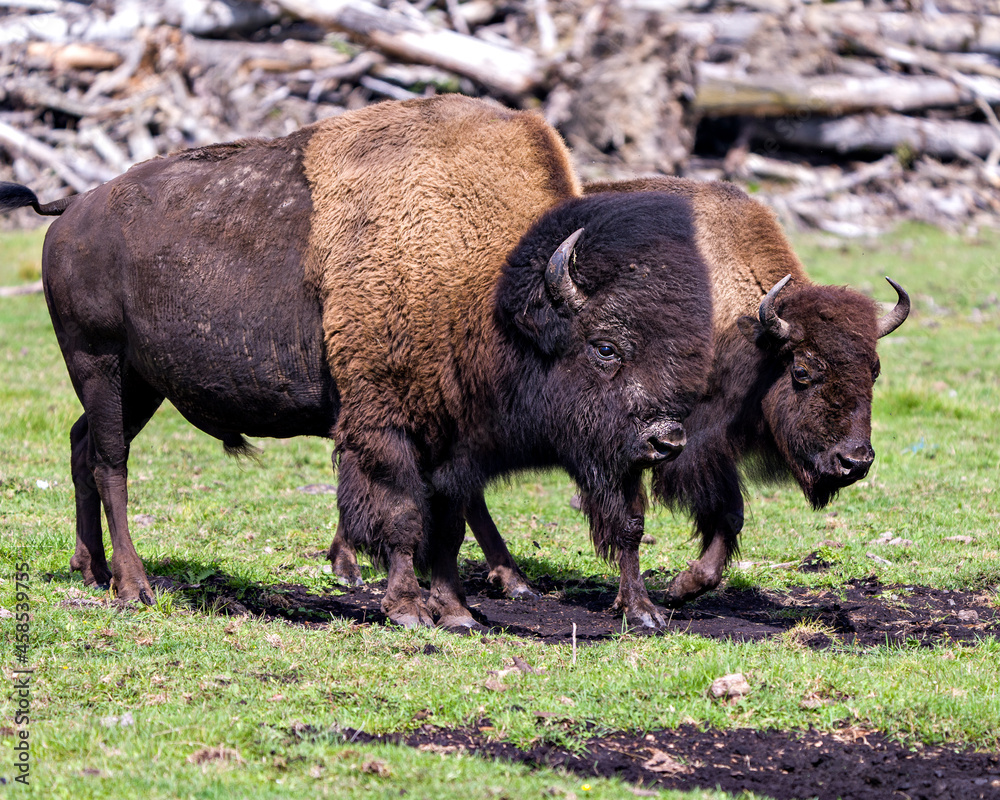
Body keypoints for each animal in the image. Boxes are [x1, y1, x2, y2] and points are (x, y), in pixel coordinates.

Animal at [1, 96, 714, 630]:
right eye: (605, 347)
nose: (666, 439)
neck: (490, 287)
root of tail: (73, 208)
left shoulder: (451, 440)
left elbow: (447, 523)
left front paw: (456, 612)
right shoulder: (386, 425)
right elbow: (402, 516)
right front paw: (409, 610)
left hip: (141, 384)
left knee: (81, 446)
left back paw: (90, 569)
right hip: (99, 363)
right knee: (110, 462)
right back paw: (134, 586)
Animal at [332, 176, 910, 627]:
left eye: (875, 370)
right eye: (804, 371)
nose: (855, 461)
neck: (749, 329)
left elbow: (725, 517)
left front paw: (680, 589)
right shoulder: (679, 444)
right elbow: (717, 511)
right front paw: (678, 590)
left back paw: (507, 580)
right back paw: (351, 568)